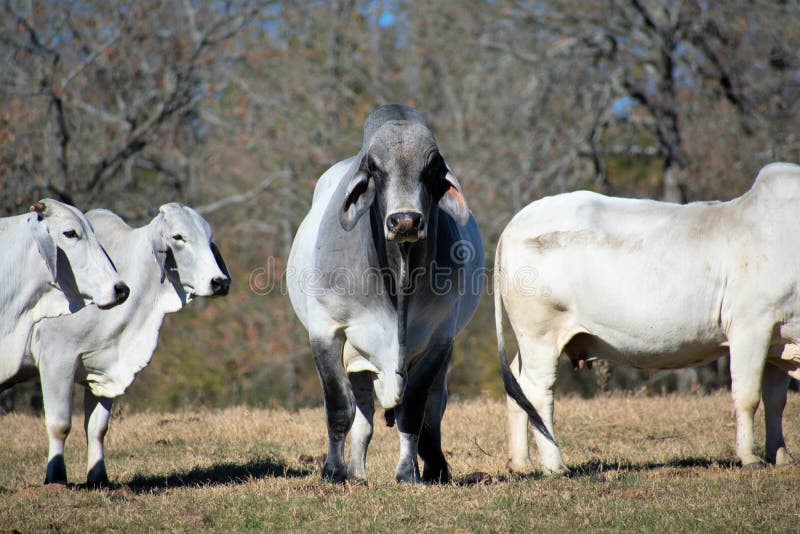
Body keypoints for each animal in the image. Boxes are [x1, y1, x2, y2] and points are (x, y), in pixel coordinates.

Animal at [23, 203, 230, 485]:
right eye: (178, 237)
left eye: (209, 240)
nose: (219, 282)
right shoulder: (56, 359)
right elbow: (60, 425)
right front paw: (55, 479)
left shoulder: (103, 369)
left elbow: (97, 428)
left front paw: (98, 477)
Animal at [287, 104, 489, 484]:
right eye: (375, 169)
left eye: (431, 168)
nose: (405, 221)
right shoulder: (325, 331)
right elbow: (340, 407)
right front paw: (333, 471)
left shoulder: (440, 338)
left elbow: (414, 411)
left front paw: (408, 473)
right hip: (358, 361)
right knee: (363, 416)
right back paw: (356, 472)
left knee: (433, 411)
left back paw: (435, 467)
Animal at [495, 162, 800, 475]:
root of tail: (516, 222)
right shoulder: (751, 325)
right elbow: (748, 396)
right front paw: (750, 457)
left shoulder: (778, 339)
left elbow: (776, 400)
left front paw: (781, 455)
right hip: (540, 335)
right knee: (538, 391)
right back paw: (555, 466)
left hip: (532, 341)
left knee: (517, 387)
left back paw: (520, 463)